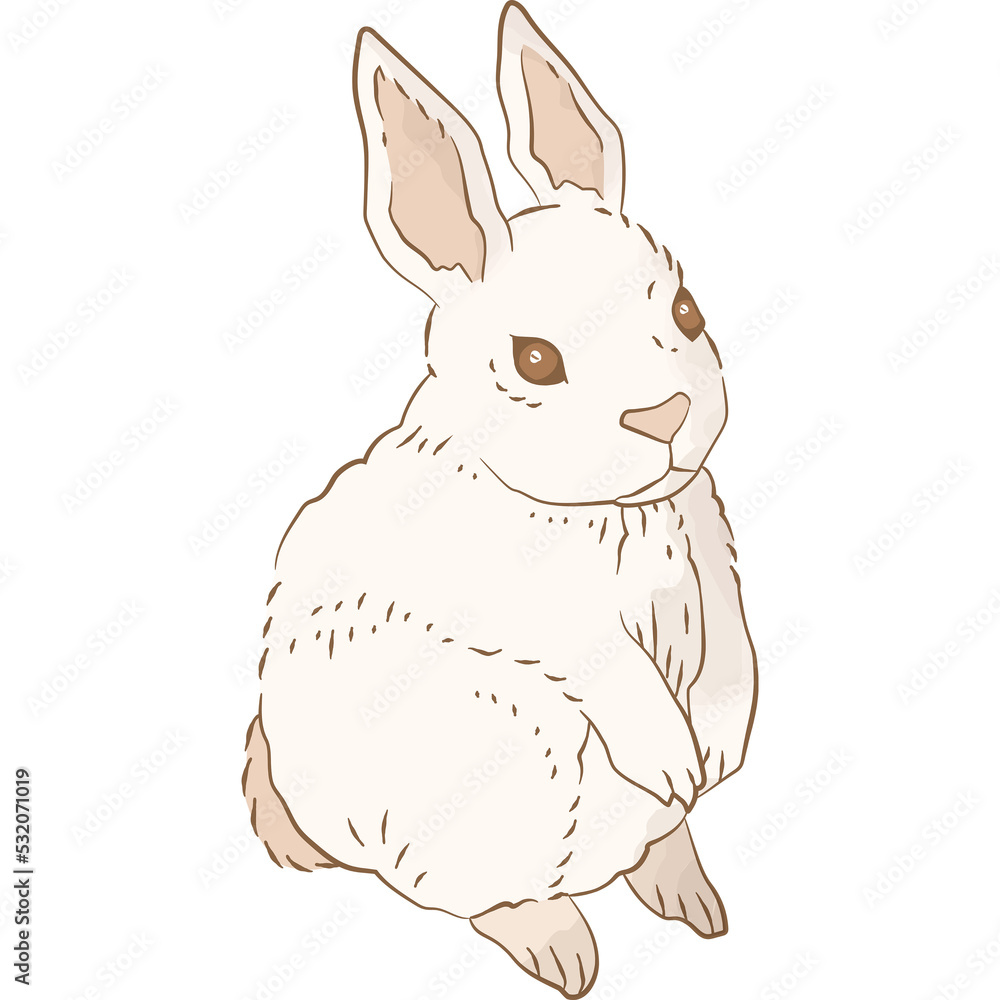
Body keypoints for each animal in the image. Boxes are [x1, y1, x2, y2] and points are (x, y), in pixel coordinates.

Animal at [242, 4, 757, 996]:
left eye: (685, 311)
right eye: (535, 361)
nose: (666, 417)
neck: (608, 510)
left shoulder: (710, 568)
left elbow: (730, 660)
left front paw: (717, 752)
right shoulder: (545, 621)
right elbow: (611, 669)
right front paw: (680, 760)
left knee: (647, 849)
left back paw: (692, 899)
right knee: (486, 902)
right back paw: (565, 951)